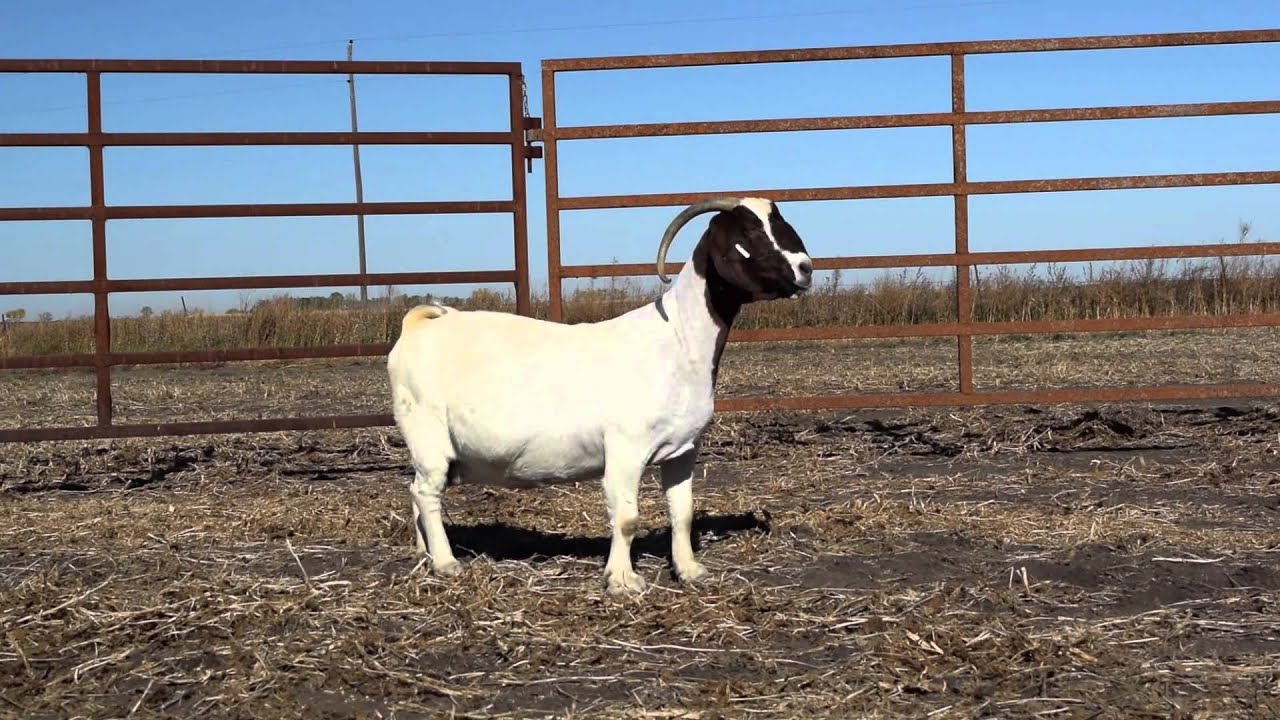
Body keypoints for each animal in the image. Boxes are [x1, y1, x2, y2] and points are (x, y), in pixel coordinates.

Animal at [386, 197, 814, 595]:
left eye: (780, 222)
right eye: (748, 234)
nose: (805, 268)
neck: (677, 339)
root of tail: (419, 328)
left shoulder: (684, 450)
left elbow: (683, 513)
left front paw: (690, 571)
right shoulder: (626, 447)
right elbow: (626, 519)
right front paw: (623, 580)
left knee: (416, 491)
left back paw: (425, 555)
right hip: (426, 432)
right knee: (426, 492)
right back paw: (446, 564)